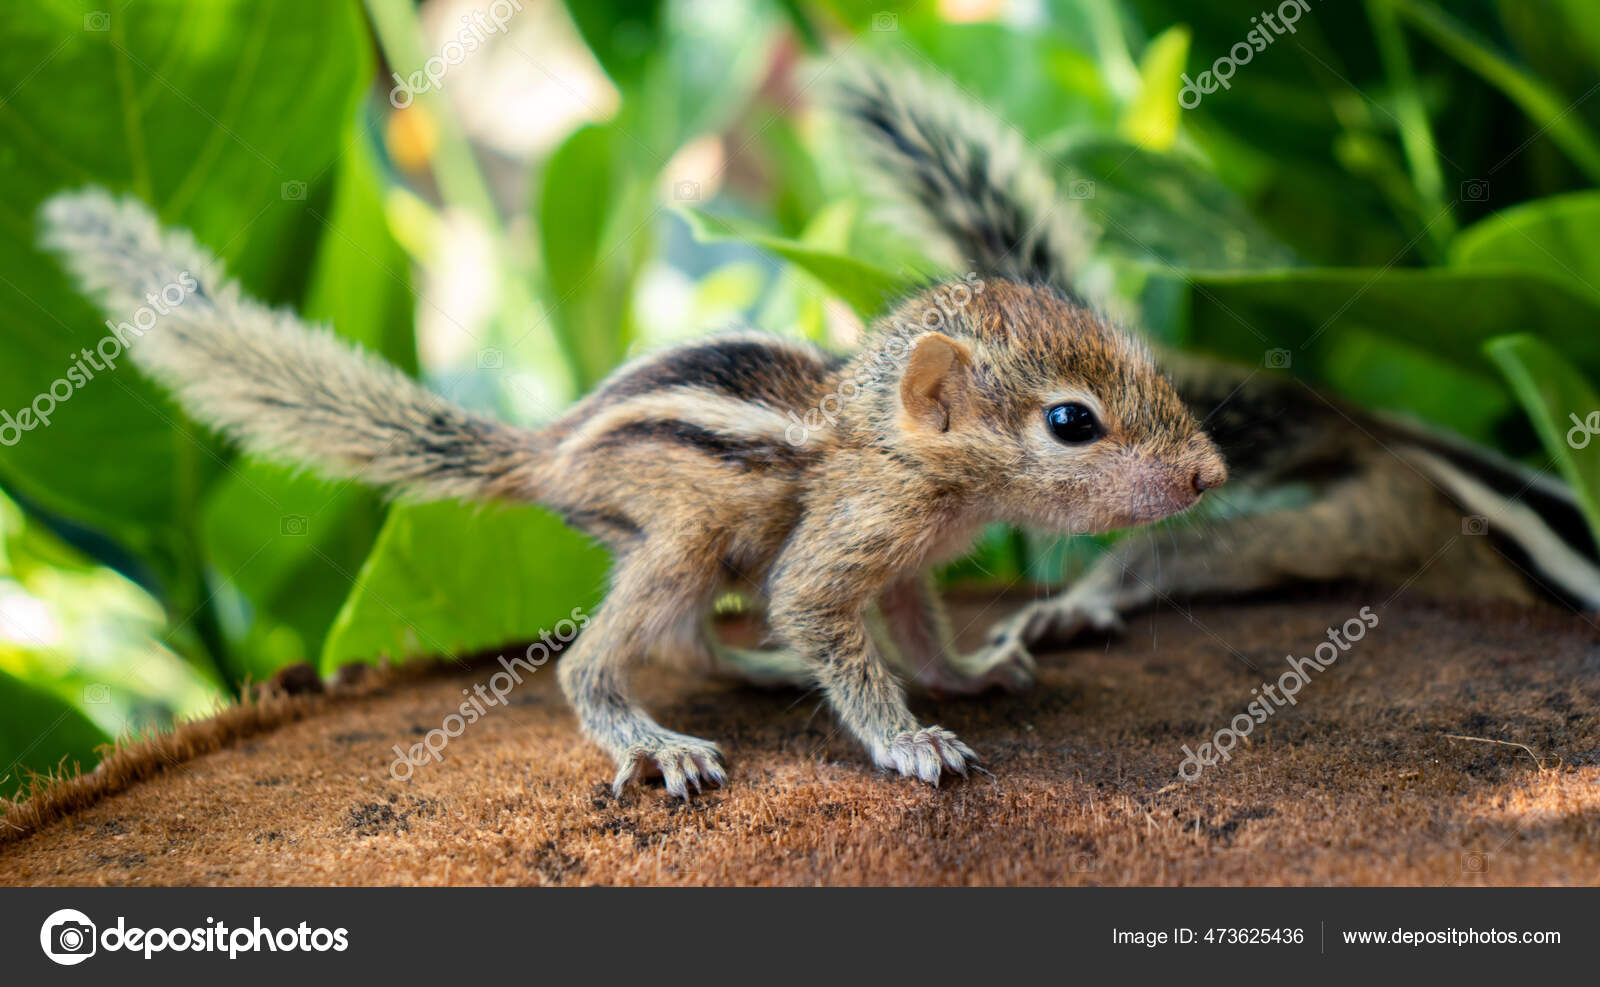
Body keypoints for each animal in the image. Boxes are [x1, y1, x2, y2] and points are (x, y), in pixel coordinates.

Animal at [40, 188, 1226, 797]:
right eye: (1071, 422)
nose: (1211, 473)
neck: (889, 448)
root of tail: (549, 448)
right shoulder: (843, 547)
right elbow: (823, 622)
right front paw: (908, 740)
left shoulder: (900, 571)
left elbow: (918, 634)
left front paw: (969, 674)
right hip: (685, 535)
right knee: (593, 662)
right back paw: (654, 741)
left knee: (694, 640)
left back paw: (759, 670)